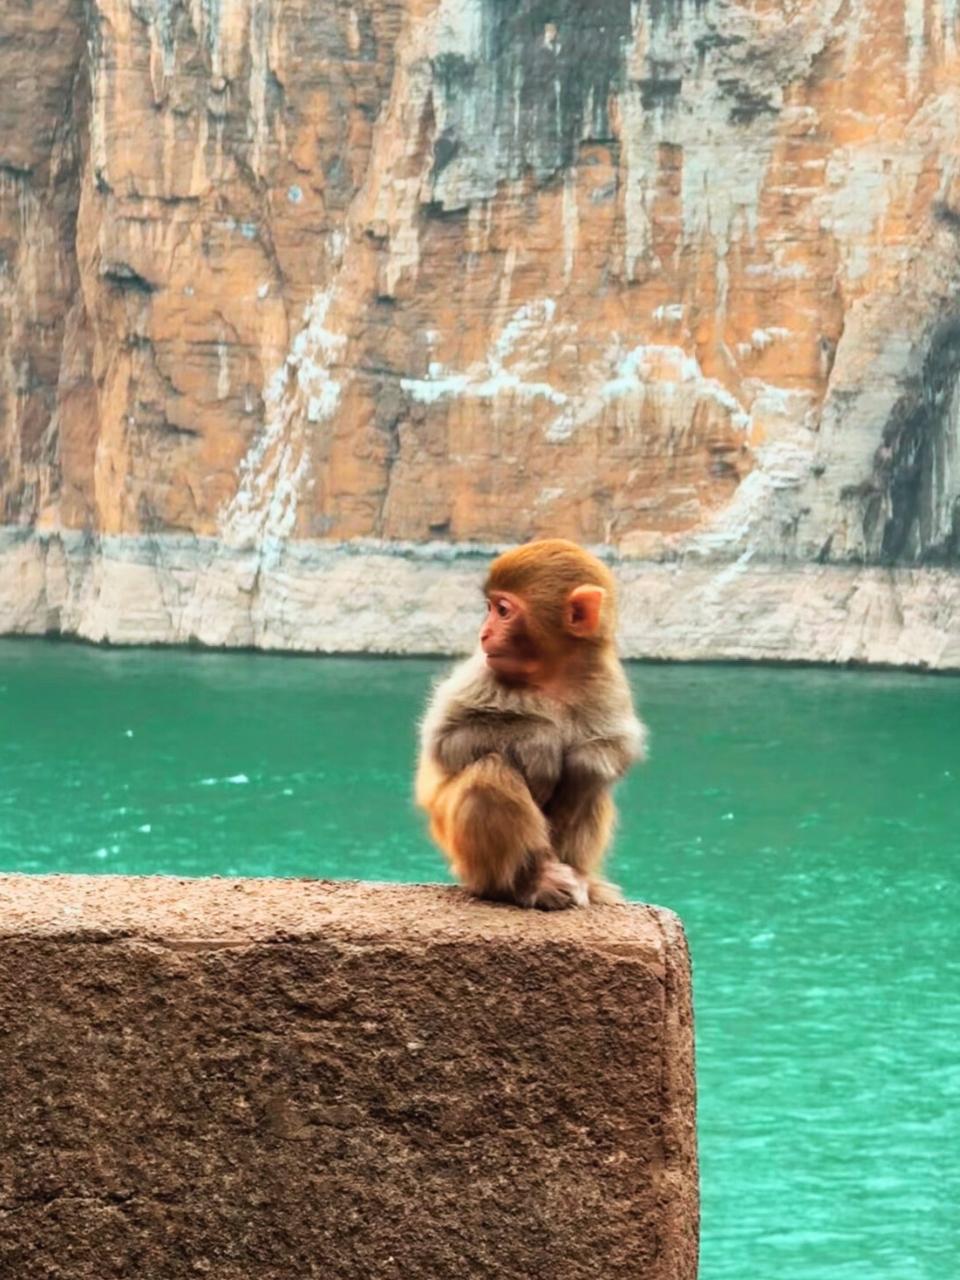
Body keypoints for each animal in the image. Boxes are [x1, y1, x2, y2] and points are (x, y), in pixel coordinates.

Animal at [416, 539, 646, 910]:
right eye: (490, 608)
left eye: (502, 610)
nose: (484, 633)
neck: (551, 674)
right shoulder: (483, 670)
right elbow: (445, 741)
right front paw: (540, 742)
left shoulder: (606, 679)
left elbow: (615, 750)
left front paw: (583, 765)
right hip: (465, 862)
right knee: (489, 774)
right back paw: (524, 884)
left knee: (592, 787)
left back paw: (577, 876)